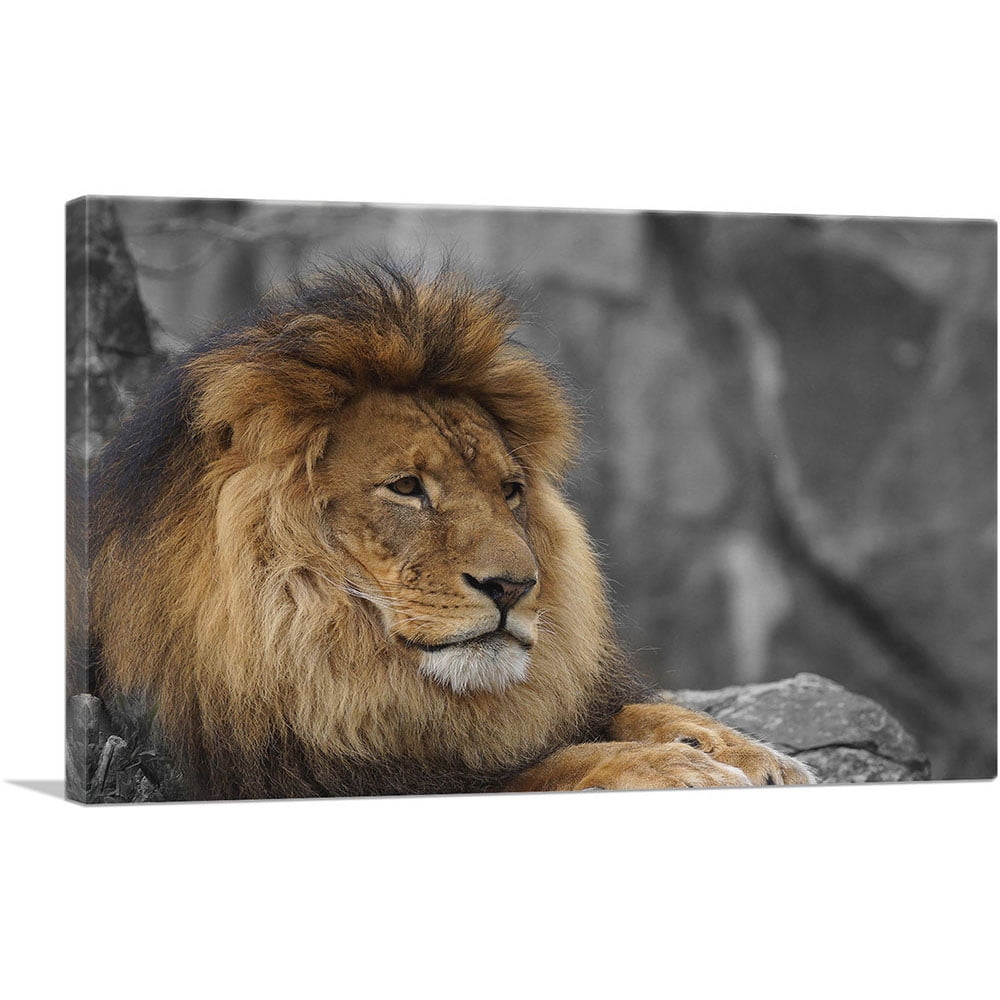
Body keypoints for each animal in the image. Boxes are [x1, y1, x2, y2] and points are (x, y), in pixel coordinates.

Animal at [89, 258, 814, 799]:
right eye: (407, 488)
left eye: (510, 492)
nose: (514, 588)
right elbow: (537, 771)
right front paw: (669, 765)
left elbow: (624, 713)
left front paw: (745, 751)